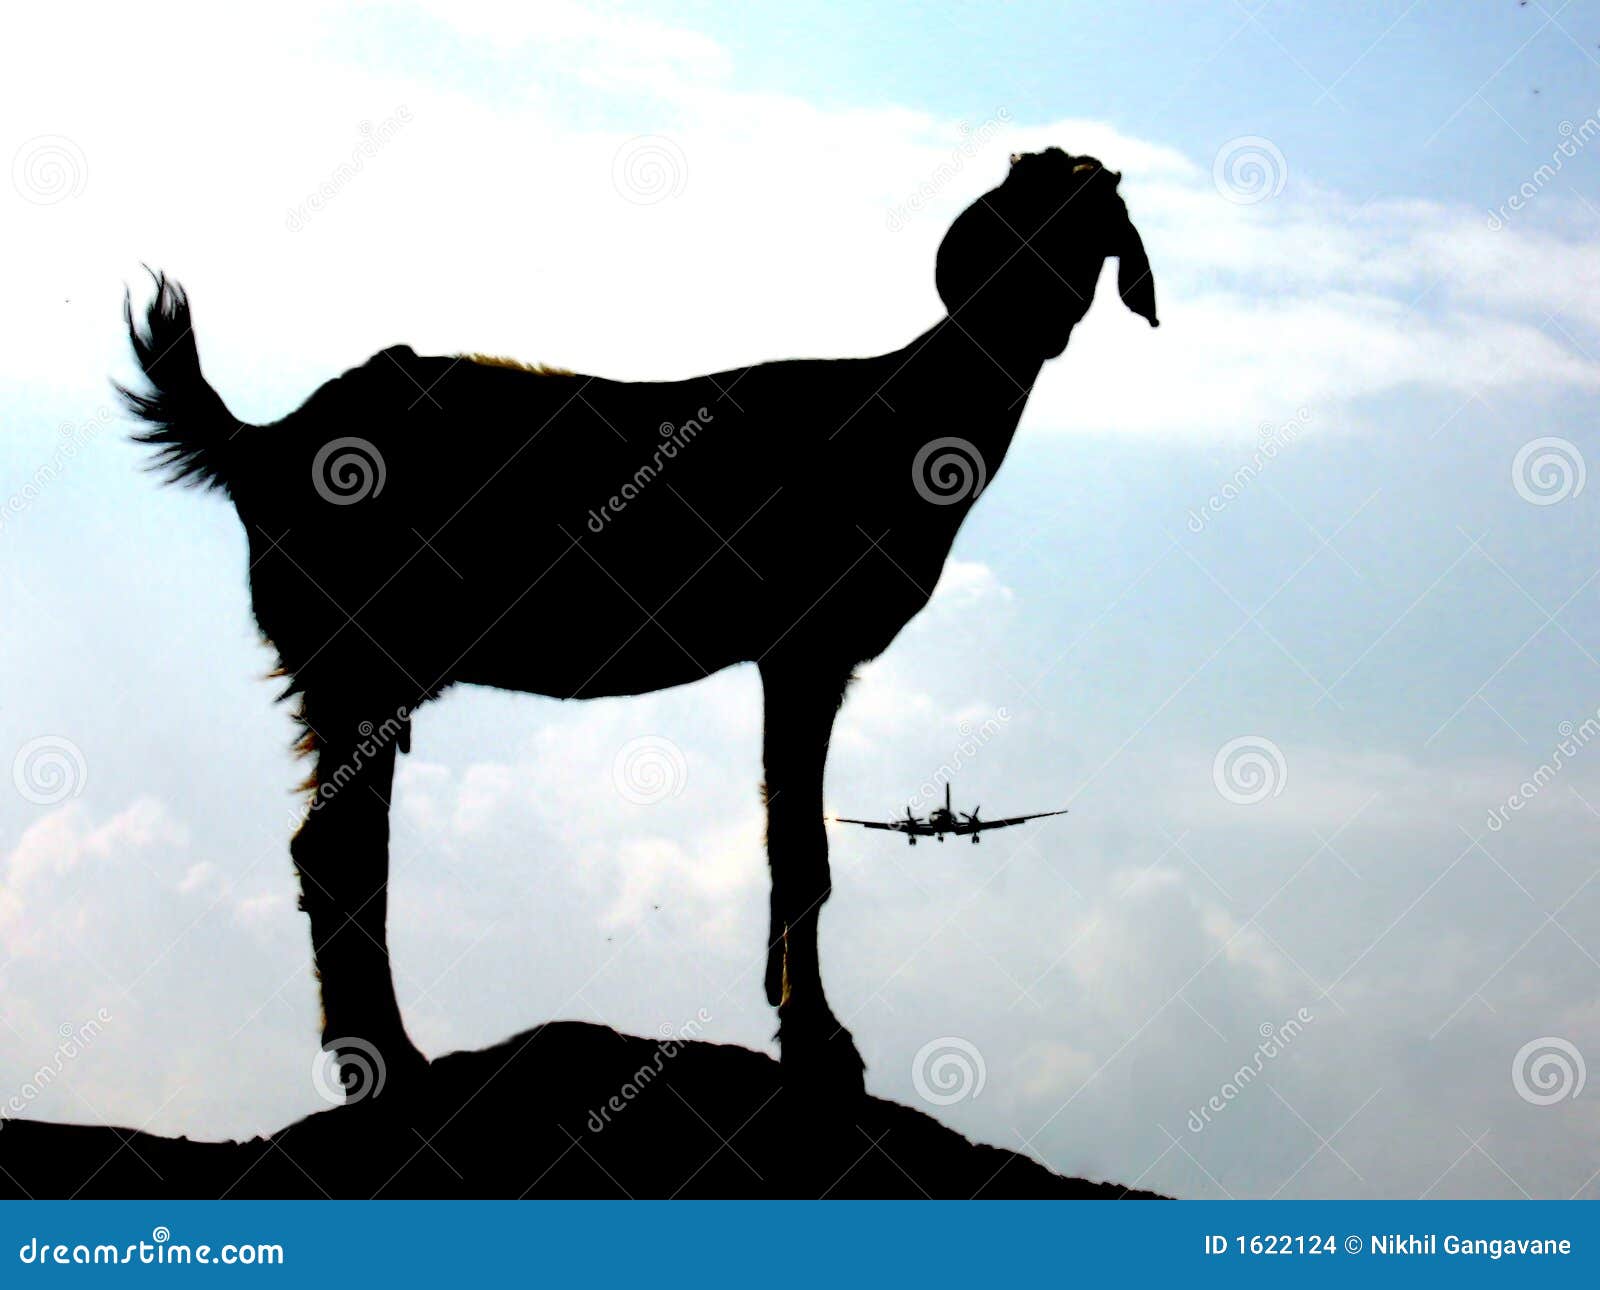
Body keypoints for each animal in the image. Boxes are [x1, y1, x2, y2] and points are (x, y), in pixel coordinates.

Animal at [121, 149, 1158, 1101]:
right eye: (1012, 221)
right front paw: (822, 1045)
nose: (1034, 316)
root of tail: (256, 444)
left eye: (1092, 226)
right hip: (360, 656)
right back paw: (388, 1063)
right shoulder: (805, 647)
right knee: (338, 852)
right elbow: (803, 851)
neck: (904, 416)